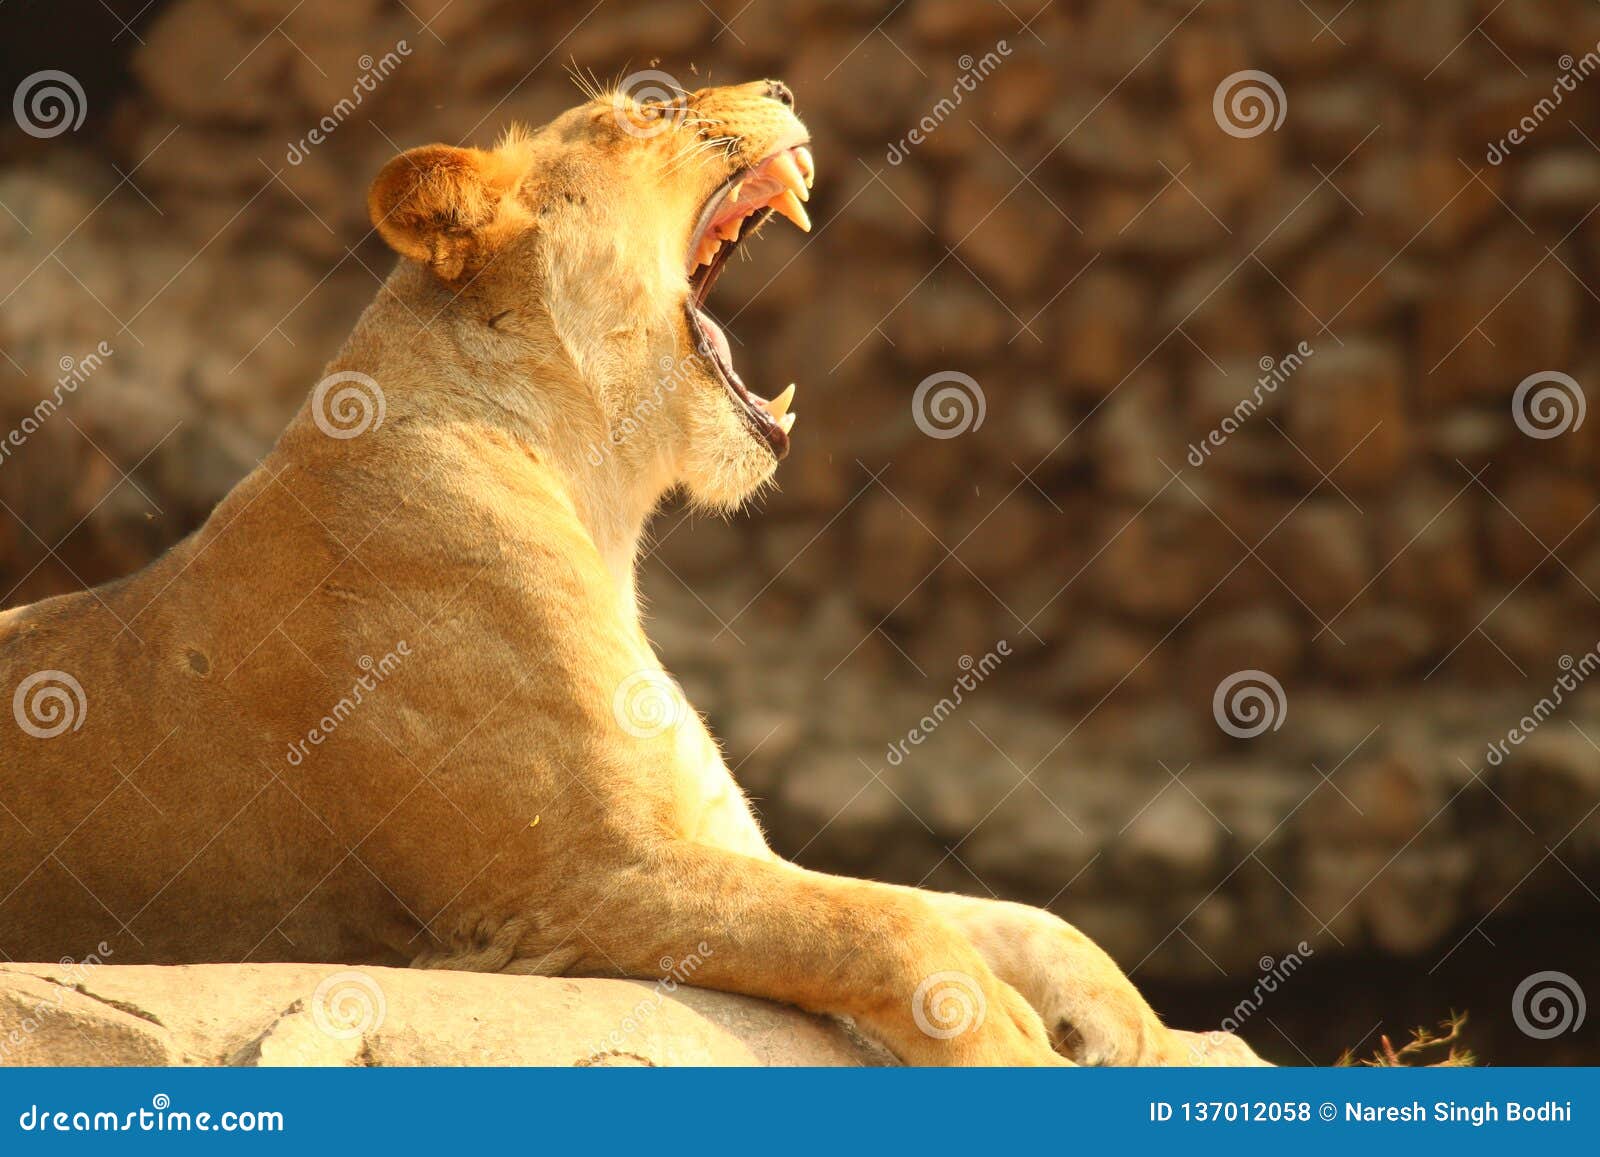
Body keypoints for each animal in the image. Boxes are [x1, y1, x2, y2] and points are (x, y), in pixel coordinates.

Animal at [0, 80, 1264, 1067]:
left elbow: (1007, 916)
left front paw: (1151, 1036)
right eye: (644, 108)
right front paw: (1012, 1042)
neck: (597, 493)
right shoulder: (577, 880)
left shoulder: (718, 839)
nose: (787, 90)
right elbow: (886, 928)